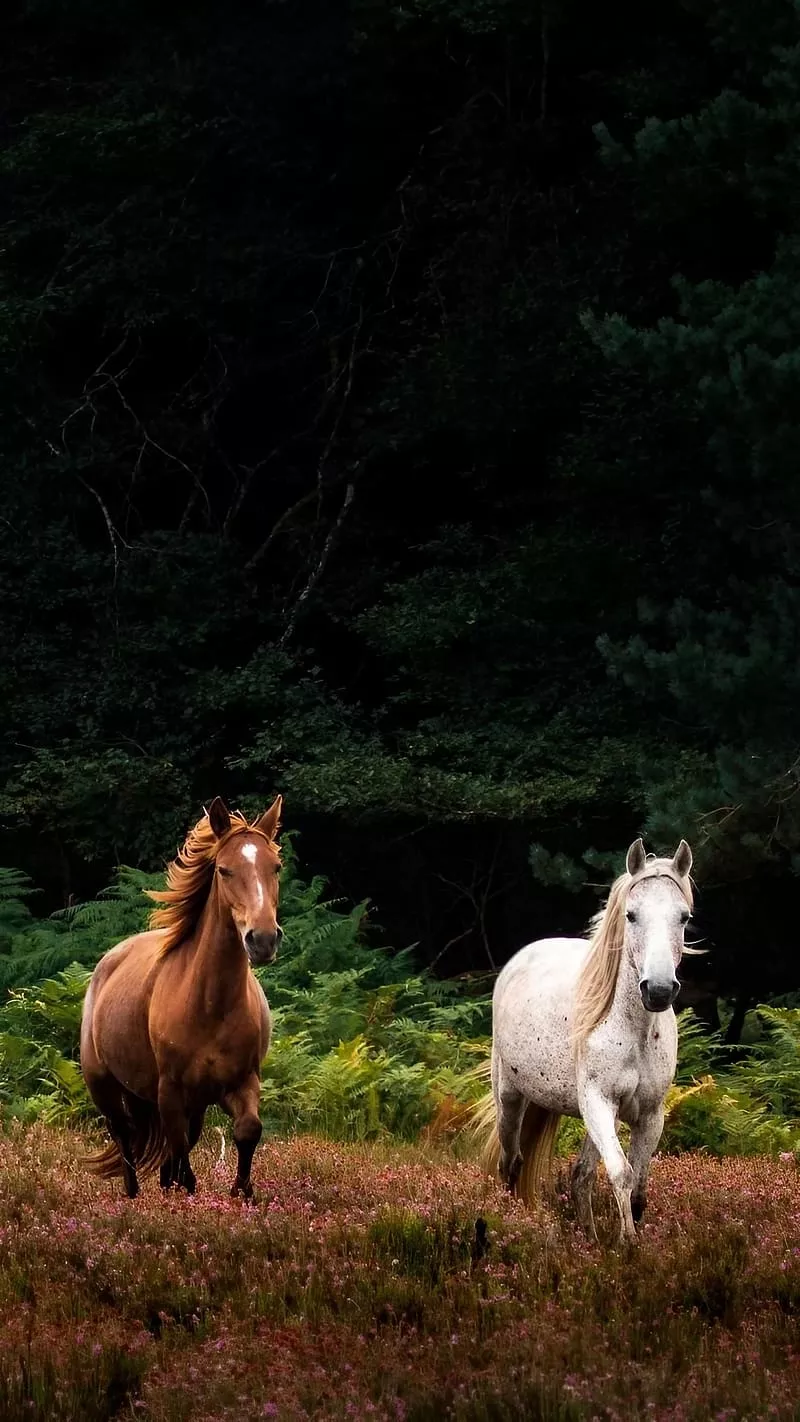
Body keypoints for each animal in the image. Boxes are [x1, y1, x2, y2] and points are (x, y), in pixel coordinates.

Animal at [79, 795, 283, 1201]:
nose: (263, 939)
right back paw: (133, 1195)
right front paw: (184, 1197)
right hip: (104, 1084)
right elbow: (179, 1157)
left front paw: (242, 1193)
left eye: (276, 867)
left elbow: (247, 1130)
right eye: (224, 870)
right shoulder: (170, 1090)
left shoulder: (242, 1082)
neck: (209, 1005)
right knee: (124, 1135)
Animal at [472, 838, 697, 1244]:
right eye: (631, 915)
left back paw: (589, 1239)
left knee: (580, 1175)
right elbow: (622, 1173)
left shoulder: (649, 1115)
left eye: (684, 917)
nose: (658, 990)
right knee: (510, 1162)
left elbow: (637, 1187)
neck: (634, 1031)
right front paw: (628, 1245)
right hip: (511, 1098)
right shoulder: (598, 1101)